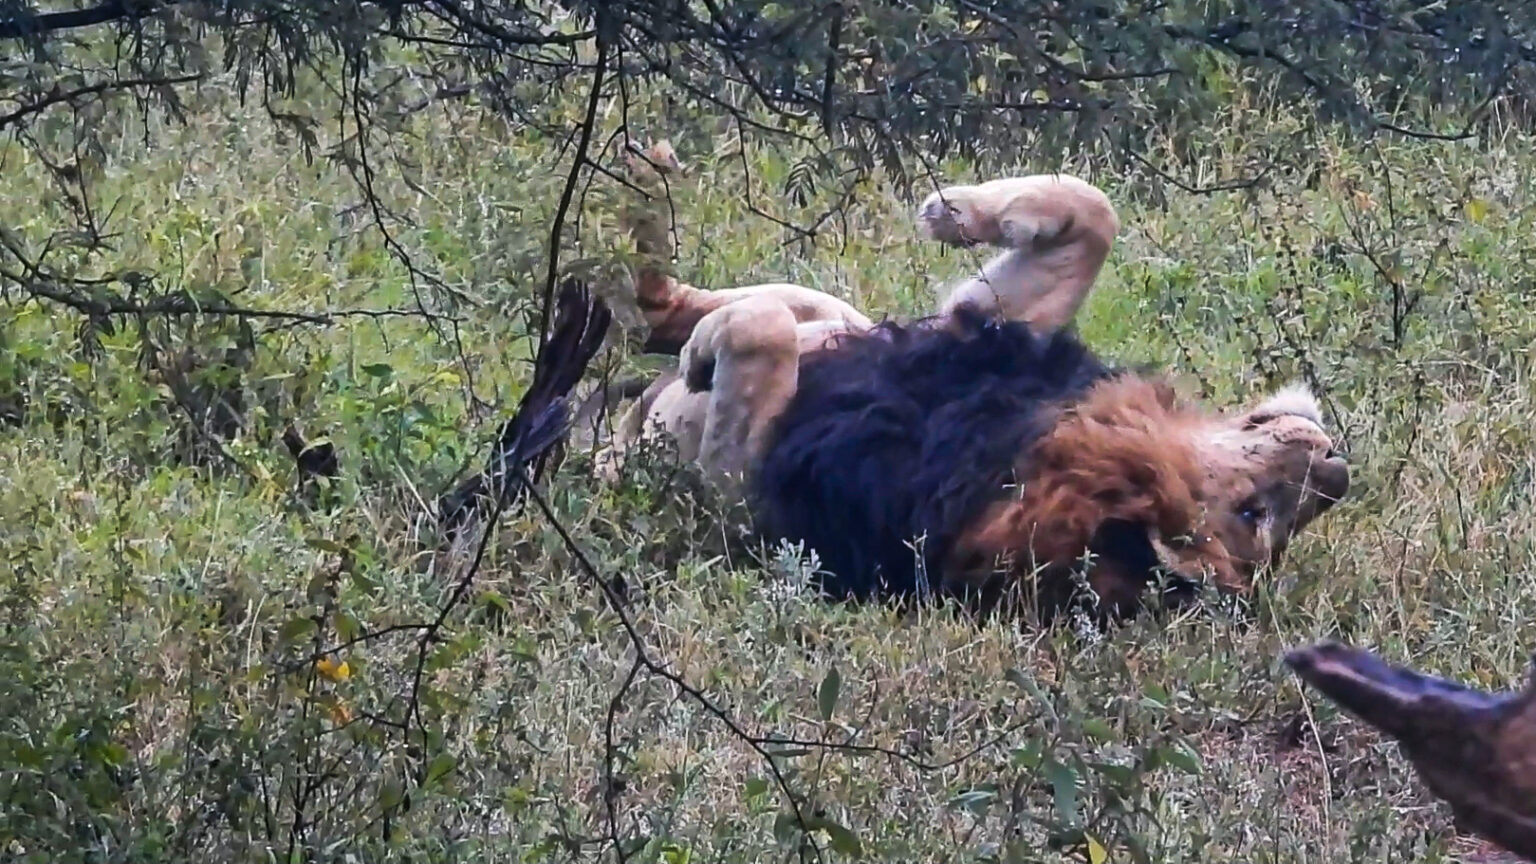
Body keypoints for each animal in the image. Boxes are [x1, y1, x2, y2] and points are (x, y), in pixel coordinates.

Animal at [592, 145, 1350, 621]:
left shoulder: (742, 494)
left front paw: (706, 355)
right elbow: (1095, 210)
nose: (1337, 471)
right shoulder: (981, 331)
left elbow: (760, 337)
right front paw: (952, 211)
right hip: (844, 316)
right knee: (706, 305)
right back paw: (644, 203)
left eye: (1256, 516)